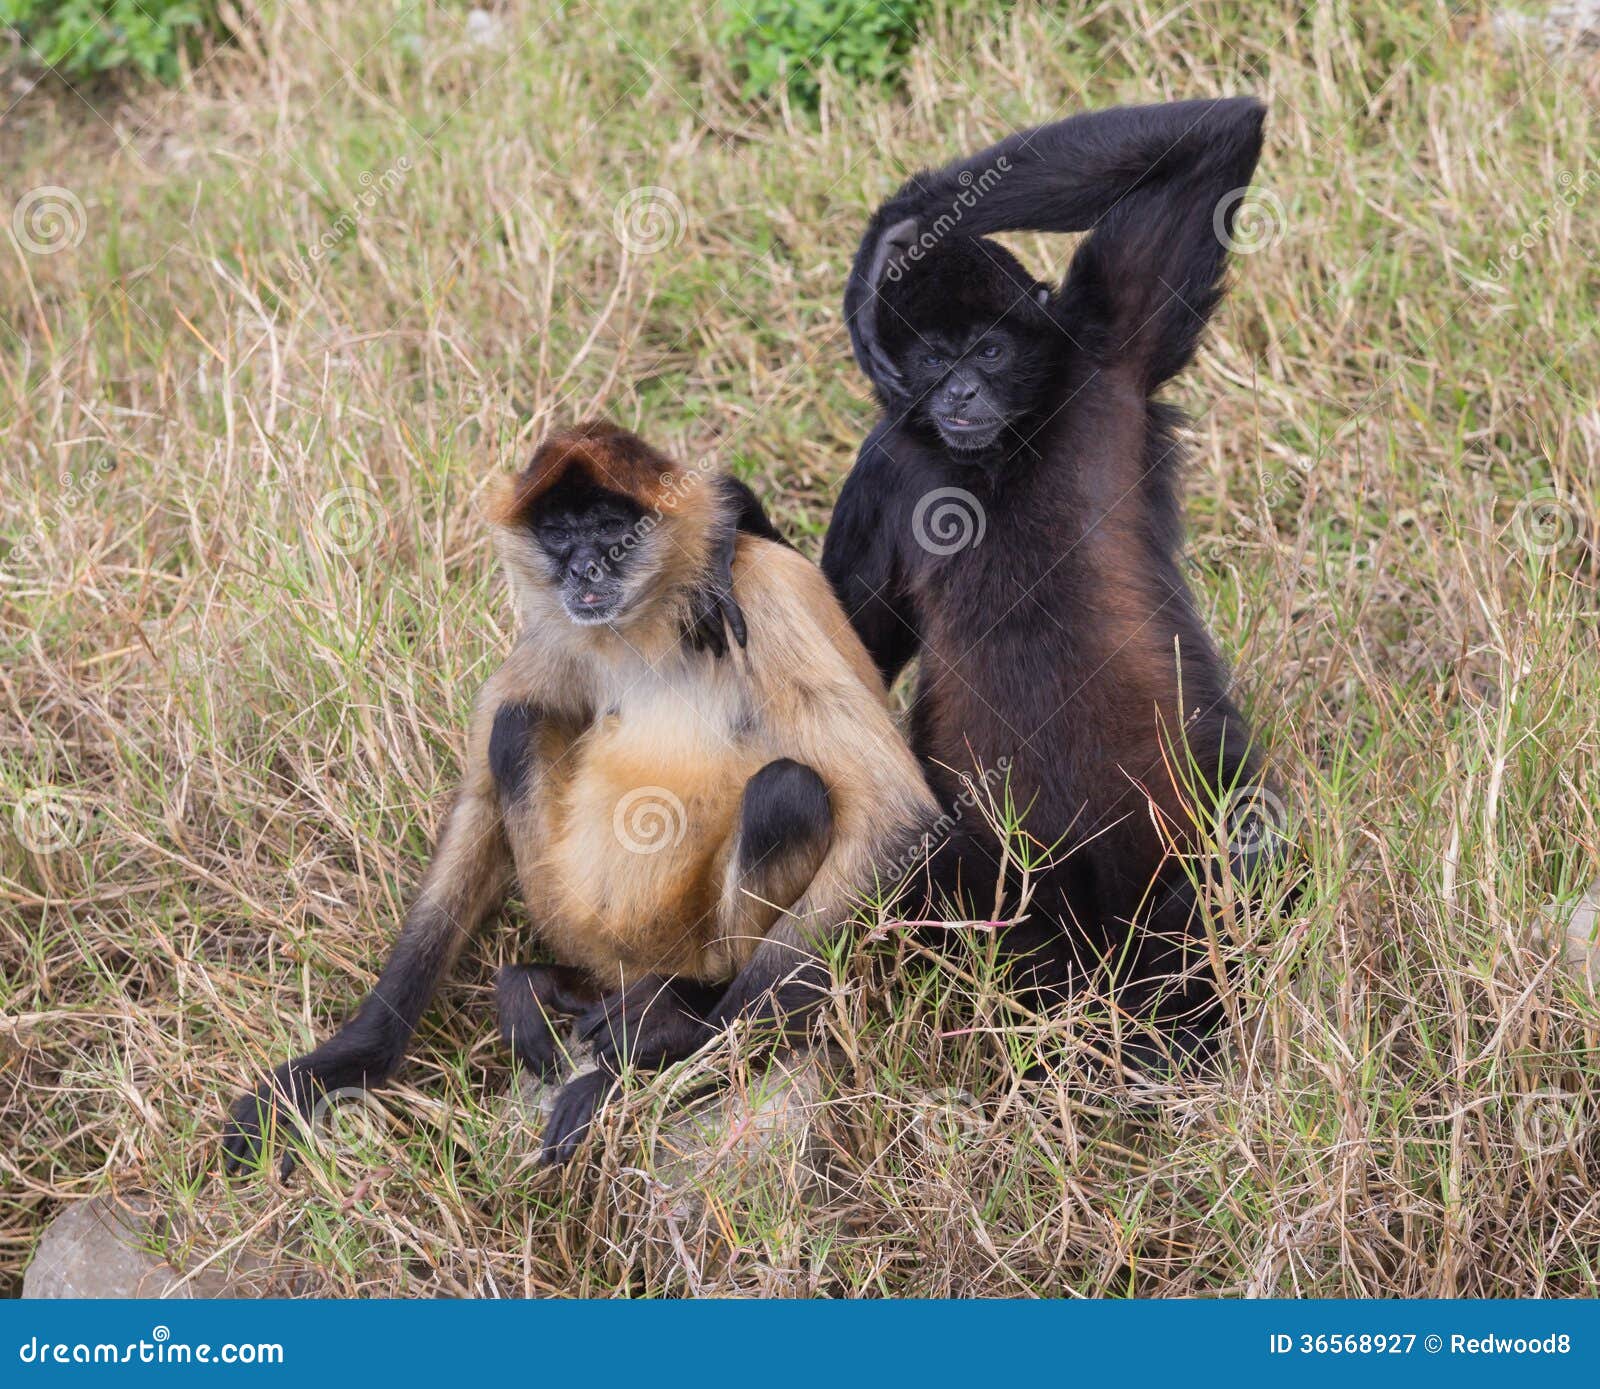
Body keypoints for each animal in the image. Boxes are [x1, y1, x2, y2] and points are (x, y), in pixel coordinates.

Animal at [222, 420, 937, 1170]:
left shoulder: (759, 594)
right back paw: (552, 984)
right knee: (515, 724)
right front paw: (347, 1061)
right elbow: (479, 796)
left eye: (610, 530)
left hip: (698, 937)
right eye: (561, 534)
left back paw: (676, 1004)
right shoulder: (560, 626)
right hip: (577, 918)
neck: (648, 619)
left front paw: (640, 1066)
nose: (584, 570)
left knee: (789, 789)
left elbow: (897, 815)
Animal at [823, 97, 1282, 1067]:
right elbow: (846, 641)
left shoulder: (1109, 346)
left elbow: (1219, 135)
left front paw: (894, 234)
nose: (959, 394)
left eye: (990, 352)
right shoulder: (884, 468)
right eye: (936, 360)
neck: (998, 454)